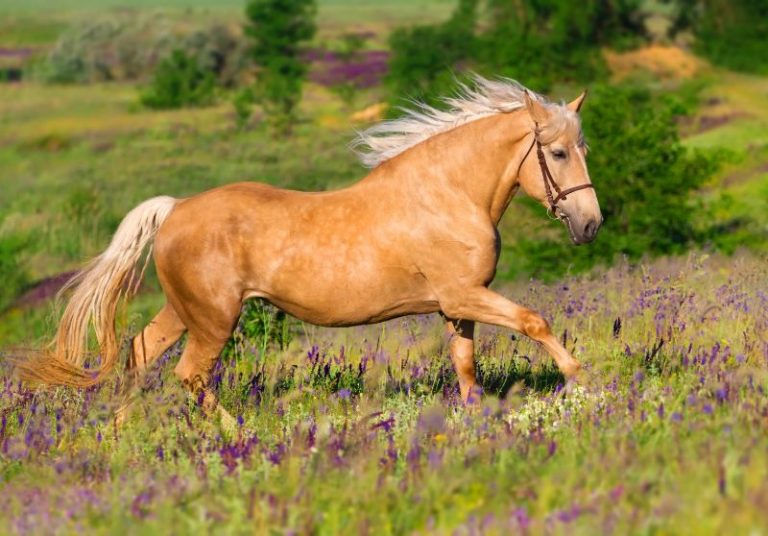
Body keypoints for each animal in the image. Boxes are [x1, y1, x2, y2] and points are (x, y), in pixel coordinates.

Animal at [15, 76, 602, 423]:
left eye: (584, 147)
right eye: (556, 152)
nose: (591, 224)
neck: (450, 193)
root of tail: (174, 208)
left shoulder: (457, 304)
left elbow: (466, 366)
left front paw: (476, 418)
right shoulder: (464, 296)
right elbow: (534, 321)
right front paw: (581, 382)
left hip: (184, 311)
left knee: (139, 355)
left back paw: (120, 433)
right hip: (213, 318)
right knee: (189, 373)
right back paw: (233, 434)